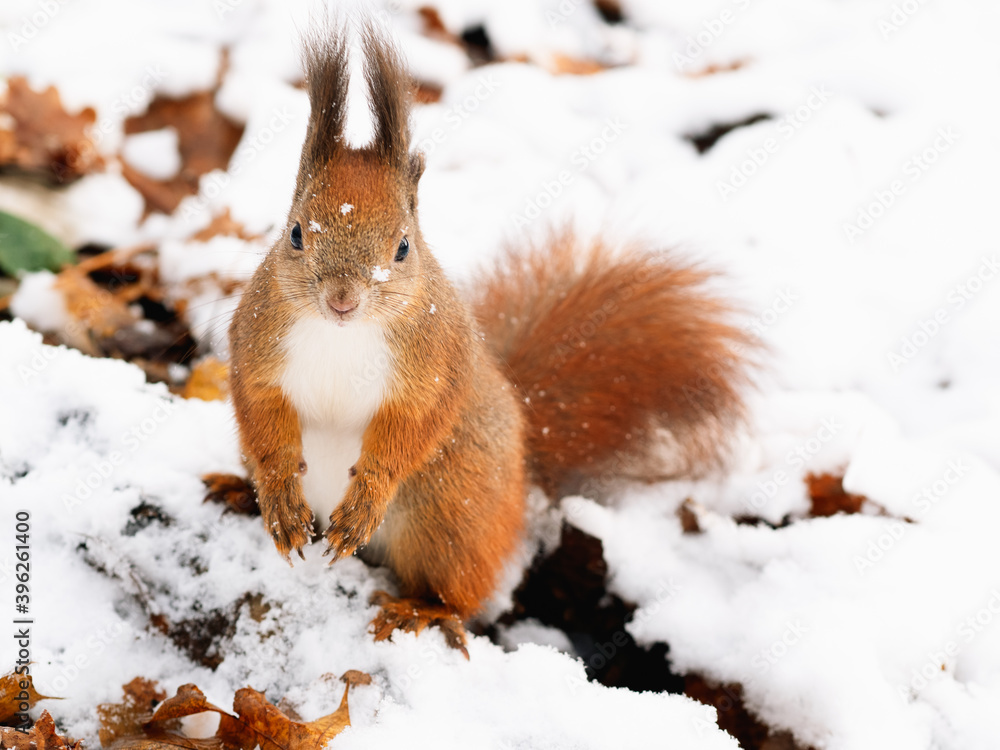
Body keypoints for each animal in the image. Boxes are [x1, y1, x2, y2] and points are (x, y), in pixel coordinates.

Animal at [228, 21, 754, 656]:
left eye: (403, 246)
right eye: (295, 234)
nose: (342, 300)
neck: (342, 336)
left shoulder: (436, 364)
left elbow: (413, 426)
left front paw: (368, 494)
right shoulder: (256, 346)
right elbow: (260, 412)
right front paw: (279, 494)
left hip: (446, 513)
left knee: (459, 590)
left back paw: (419, 608)